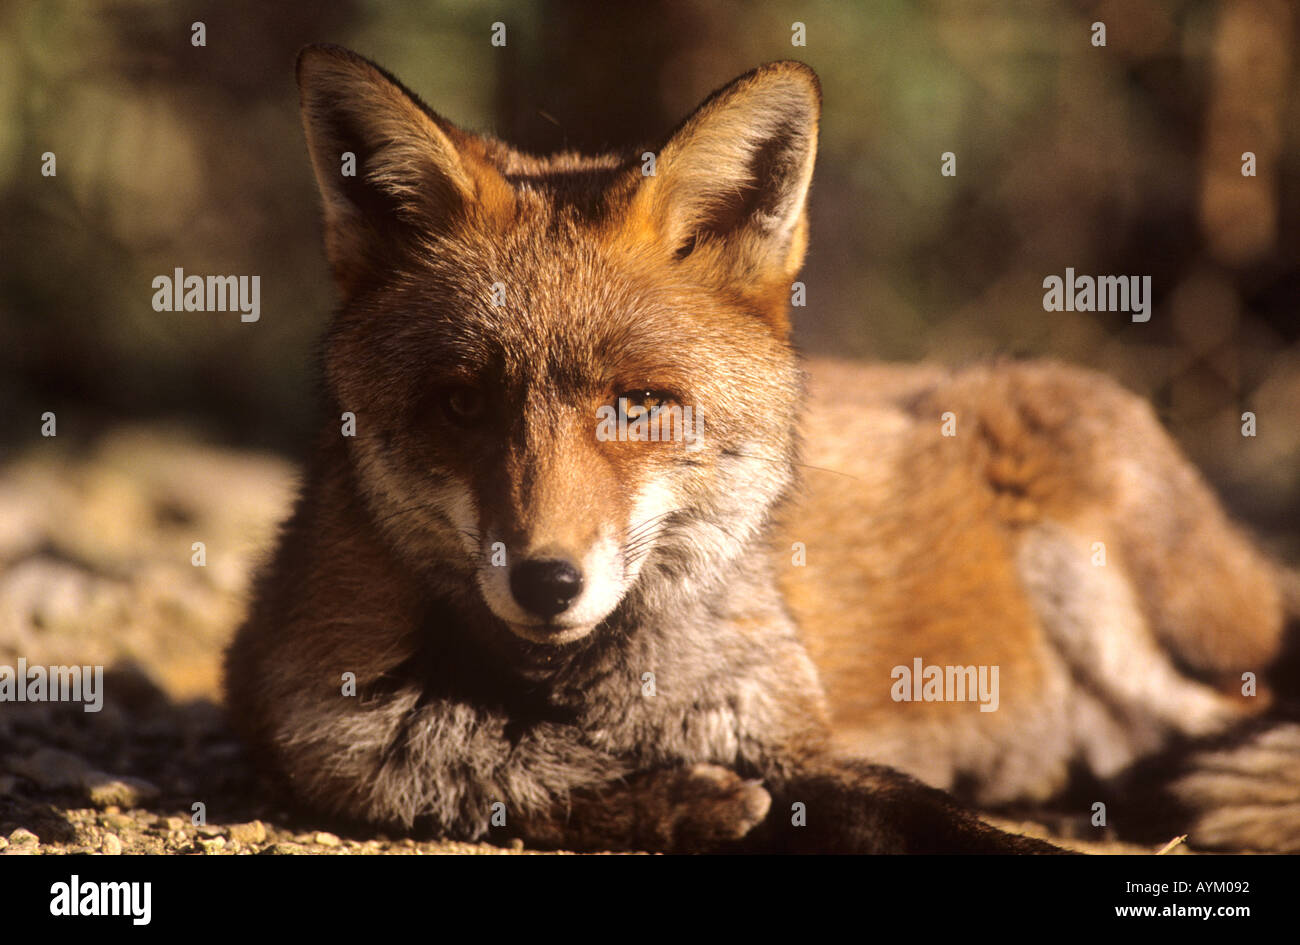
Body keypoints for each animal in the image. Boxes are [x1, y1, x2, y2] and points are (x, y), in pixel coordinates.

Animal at [223, 44, 1300, 854]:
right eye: (461, 404)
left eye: (640, 405)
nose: (545, 580)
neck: (586, 696)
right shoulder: (341, 743)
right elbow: (521, 782)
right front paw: (678, 803)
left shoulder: (798, 741)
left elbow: (939, 819)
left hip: (1120, 607)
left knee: (1240, 713)